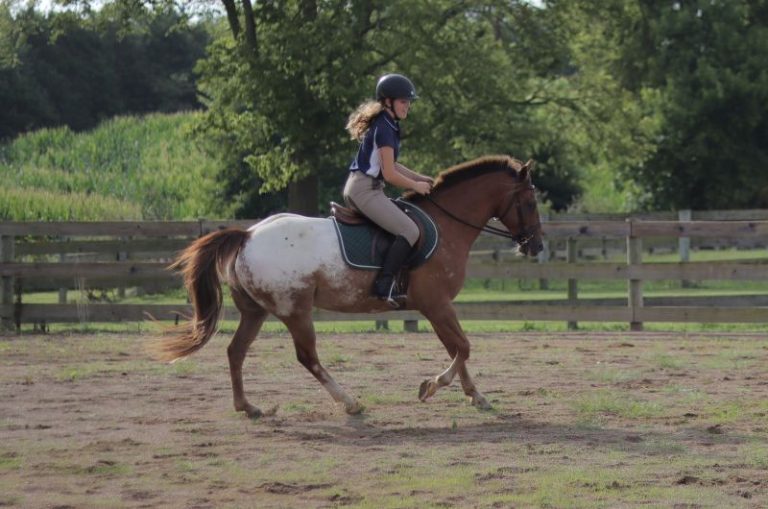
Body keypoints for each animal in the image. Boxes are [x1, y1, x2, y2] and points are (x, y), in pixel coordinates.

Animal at [154, 155, 544, 417]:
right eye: (529, 202)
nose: (536, 246)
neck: (446, 224)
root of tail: (247, 235)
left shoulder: (438, 307)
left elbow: (457, 349)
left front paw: (475, 396)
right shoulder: (437, 305)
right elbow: (462, 347)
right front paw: (431, 386)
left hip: (256, 311)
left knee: (236, 351)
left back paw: (248, 407)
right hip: (295, 310)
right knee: (307, 357)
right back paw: (350, 402)